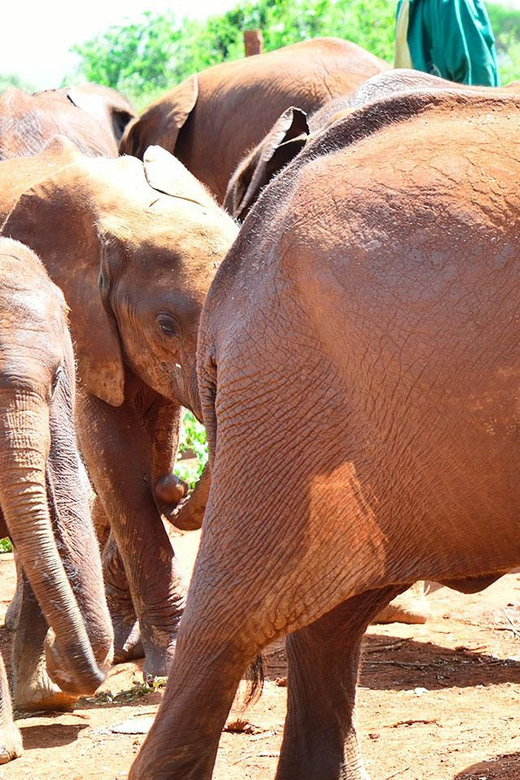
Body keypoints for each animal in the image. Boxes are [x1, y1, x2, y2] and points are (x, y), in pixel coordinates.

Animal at [0, 142, 238, 678]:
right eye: (167, 326)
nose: (177, 487)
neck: (128, 211)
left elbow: (156, 440)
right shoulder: (85, 323)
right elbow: (115, 459)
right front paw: (167, 661)